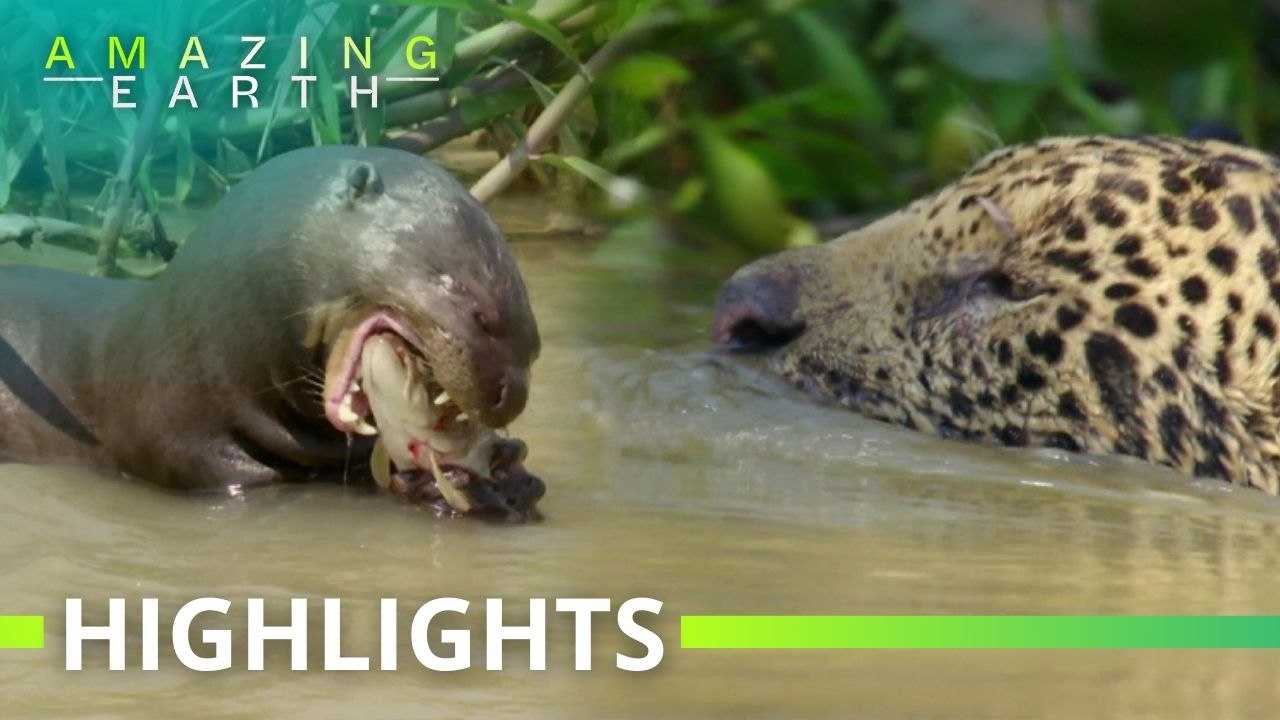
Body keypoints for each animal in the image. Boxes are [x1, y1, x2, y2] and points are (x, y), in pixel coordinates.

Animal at [0, 146, 544, 517]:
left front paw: (506, 472)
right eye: (482, 316)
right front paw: (460, 483)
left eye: (534, 346)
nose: (511, 397)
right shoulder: (174, 435)